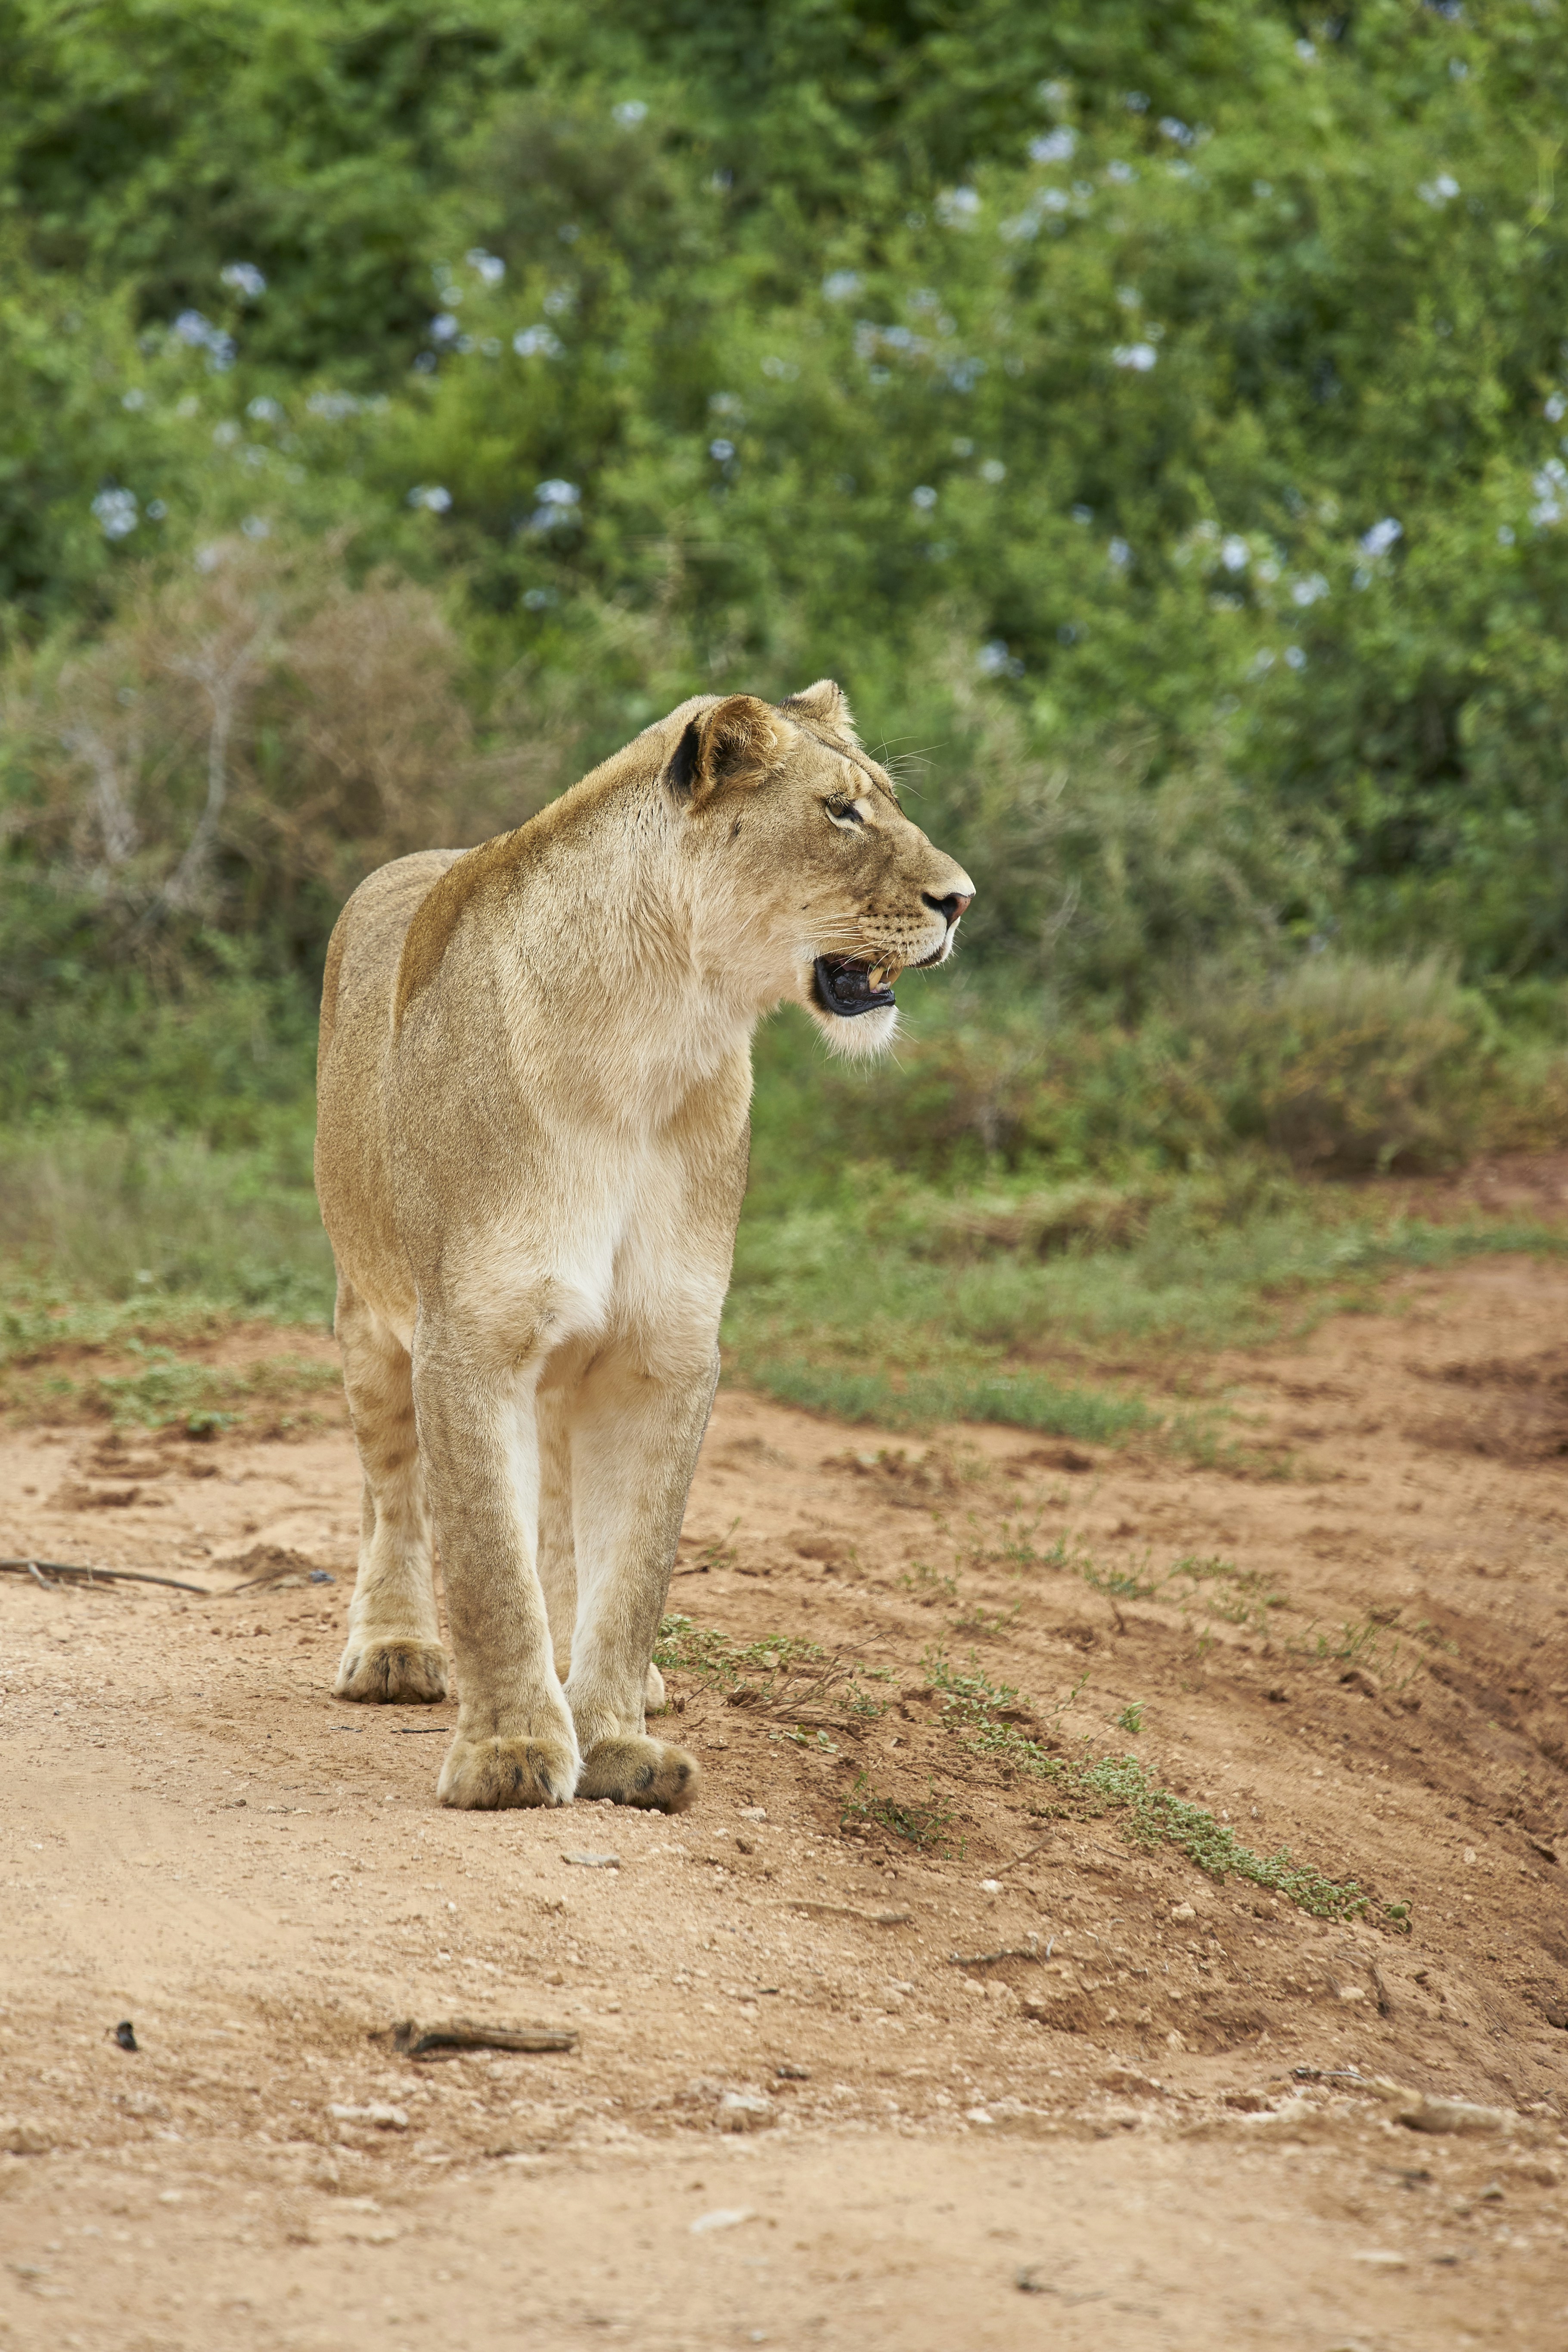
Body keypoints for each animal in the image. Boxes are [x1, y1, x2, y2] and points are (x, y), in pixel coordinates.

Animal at [313, 681, 973, 1810]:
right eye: (839, 811)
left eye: (883, 800)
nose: (962, 900)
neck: (658, 1040)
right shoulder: (470, 1338)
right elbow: (486, 1558)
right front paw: (512, 1752)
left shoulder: (665, 1350)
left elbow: (632, 1567)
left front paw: (615, 1738)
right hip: (370, 1316)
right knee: (393, 1495)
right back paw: (397, 1650)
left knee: (562, 1521)